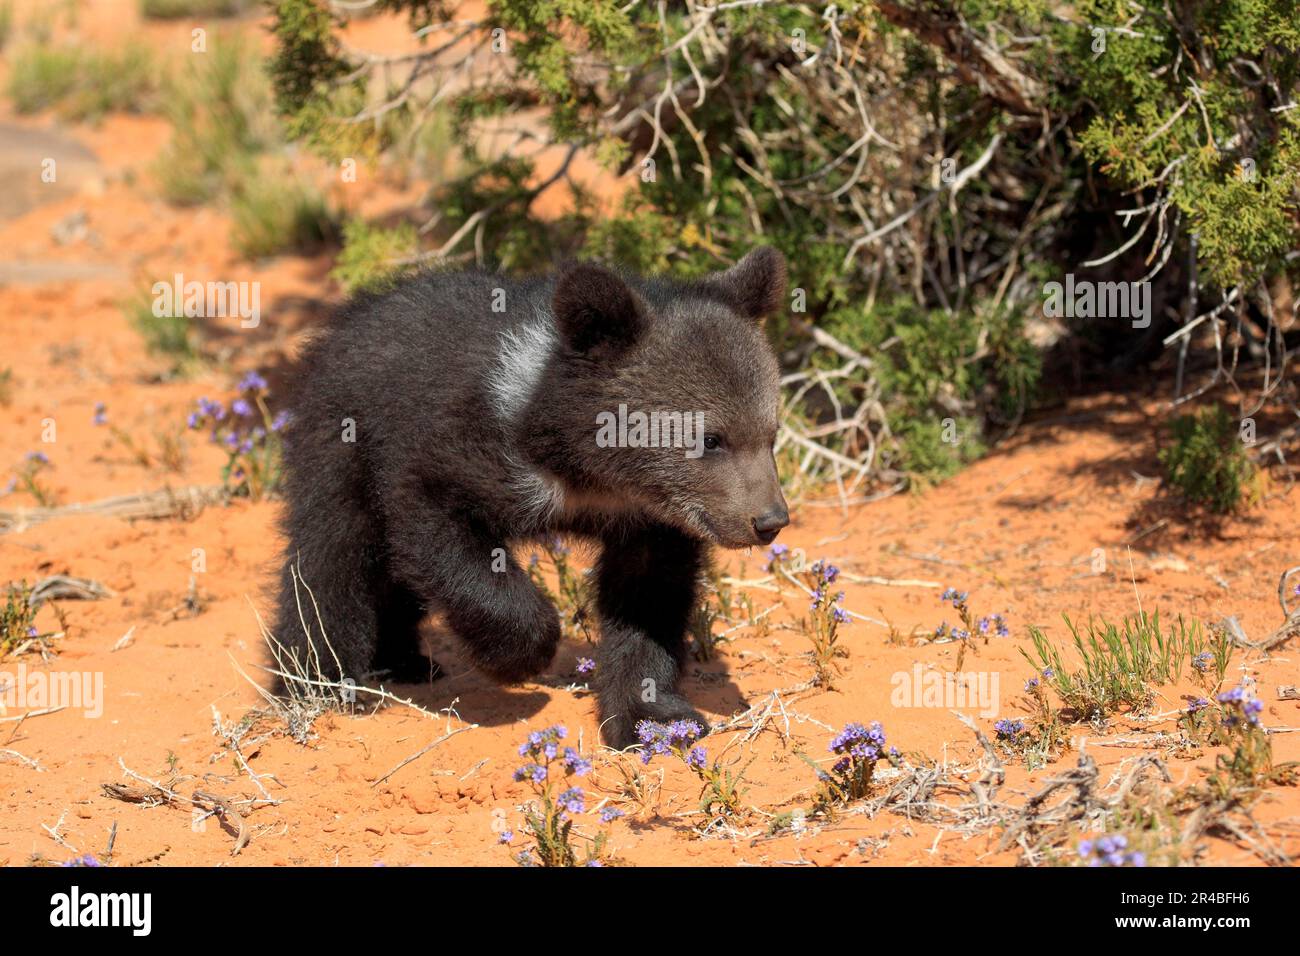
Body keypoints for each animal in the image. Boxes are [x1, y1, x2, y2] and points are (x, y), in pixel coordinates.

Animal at [270, 246, 790, 748]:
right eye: (710, 439)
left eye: (771, 434)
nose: (769, 521)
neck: (583, 467)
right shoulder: (458, 454)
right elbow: (439, 529)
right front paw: (521, 655)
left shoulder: (649, 522)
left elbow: (648, 601)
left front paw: (653, 718)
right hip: (342, 441)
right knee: (331, 556)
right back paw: (316, 678)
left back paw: (405, 661)